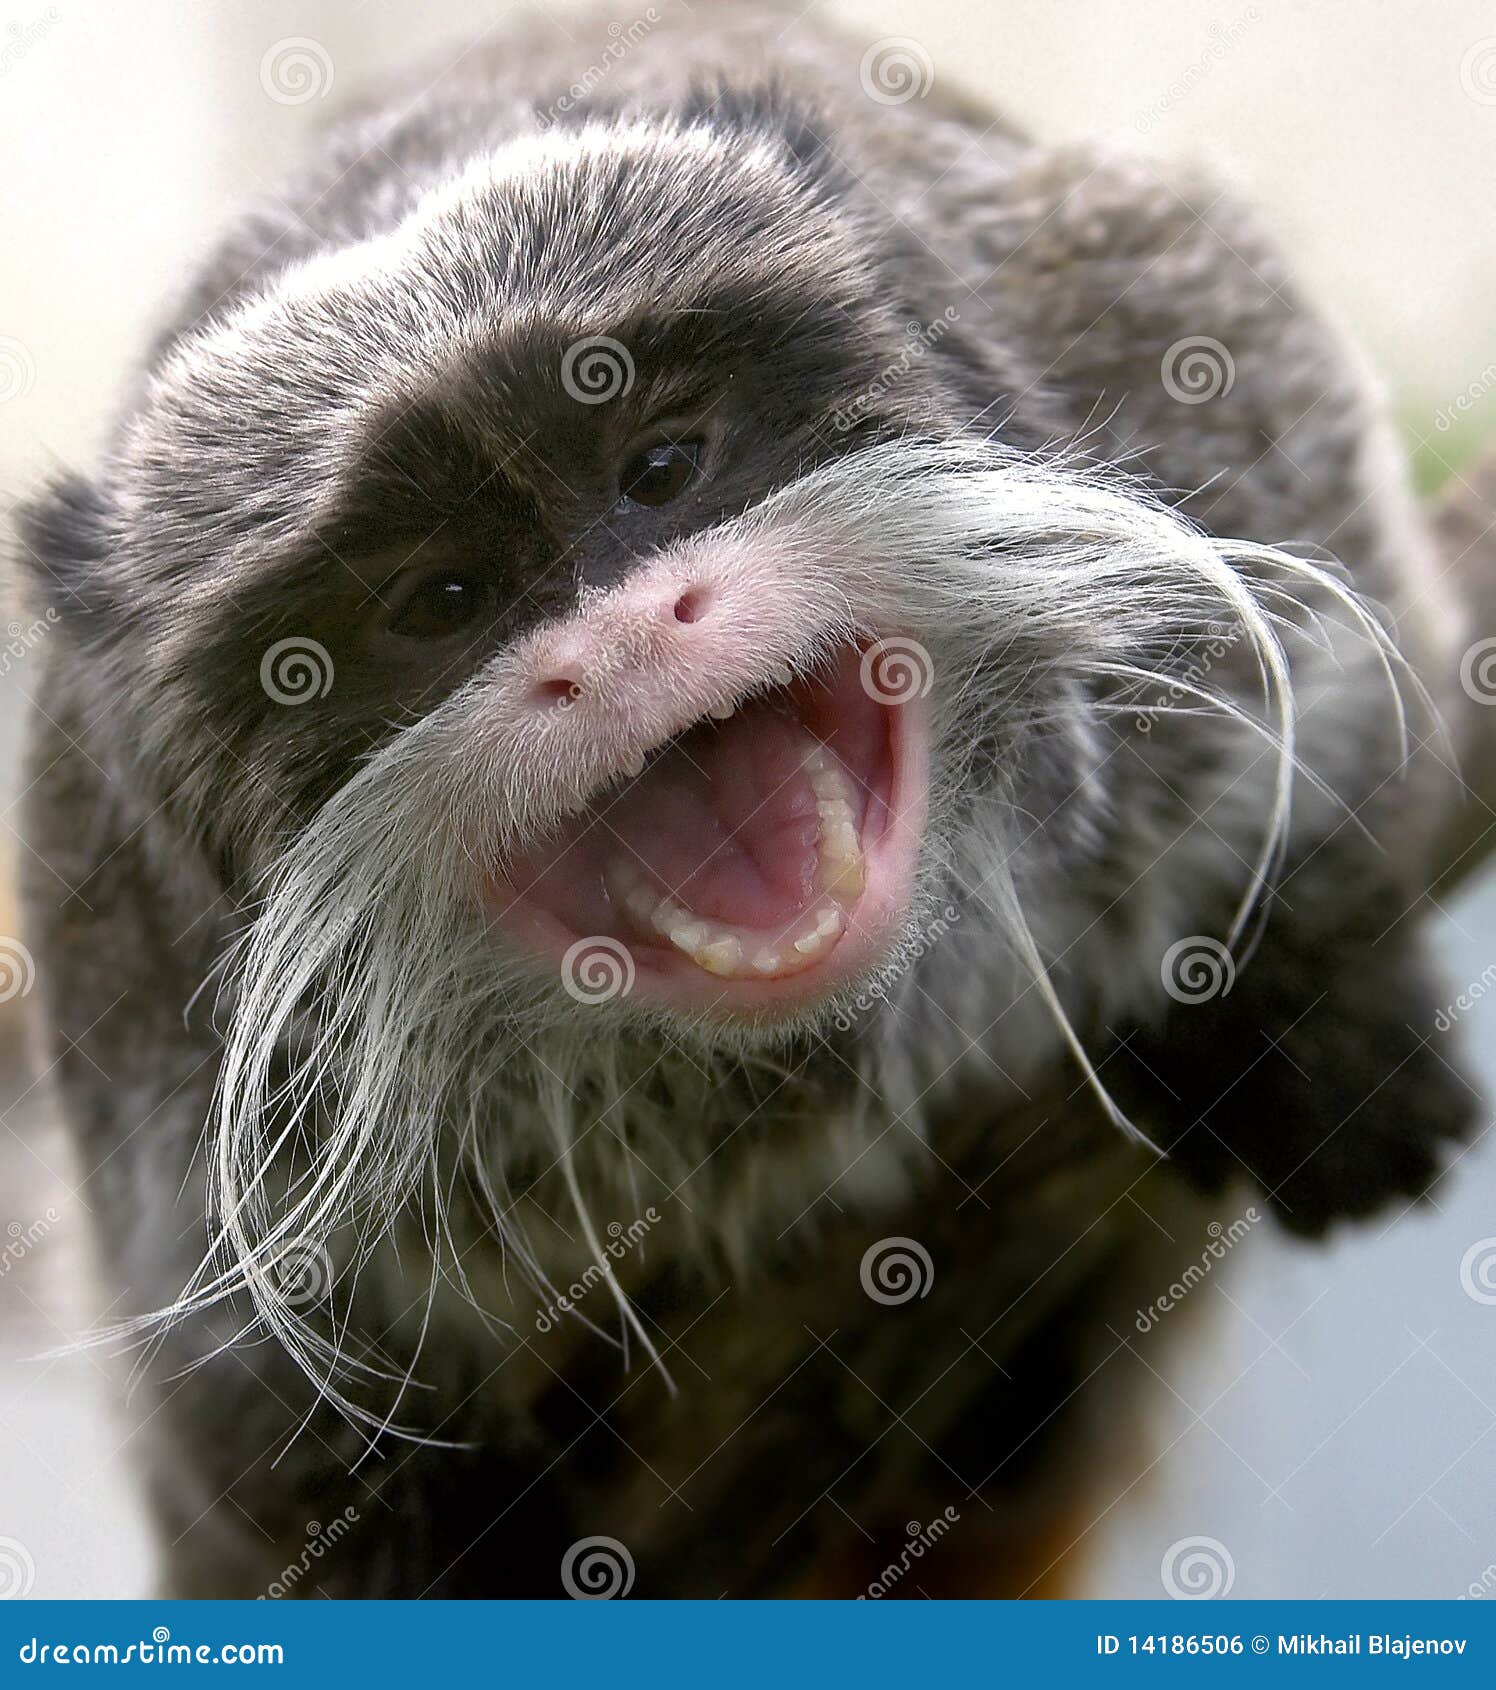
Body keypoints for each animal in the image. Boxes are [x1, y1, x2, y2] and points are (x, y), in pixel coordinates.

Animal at [13, 1, 1483, 1597]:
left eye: (662, 467)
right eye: (443, 600)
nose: (617, 640)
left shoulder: (1129, 325)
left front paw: (1308, 986)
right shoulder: (124, 969)